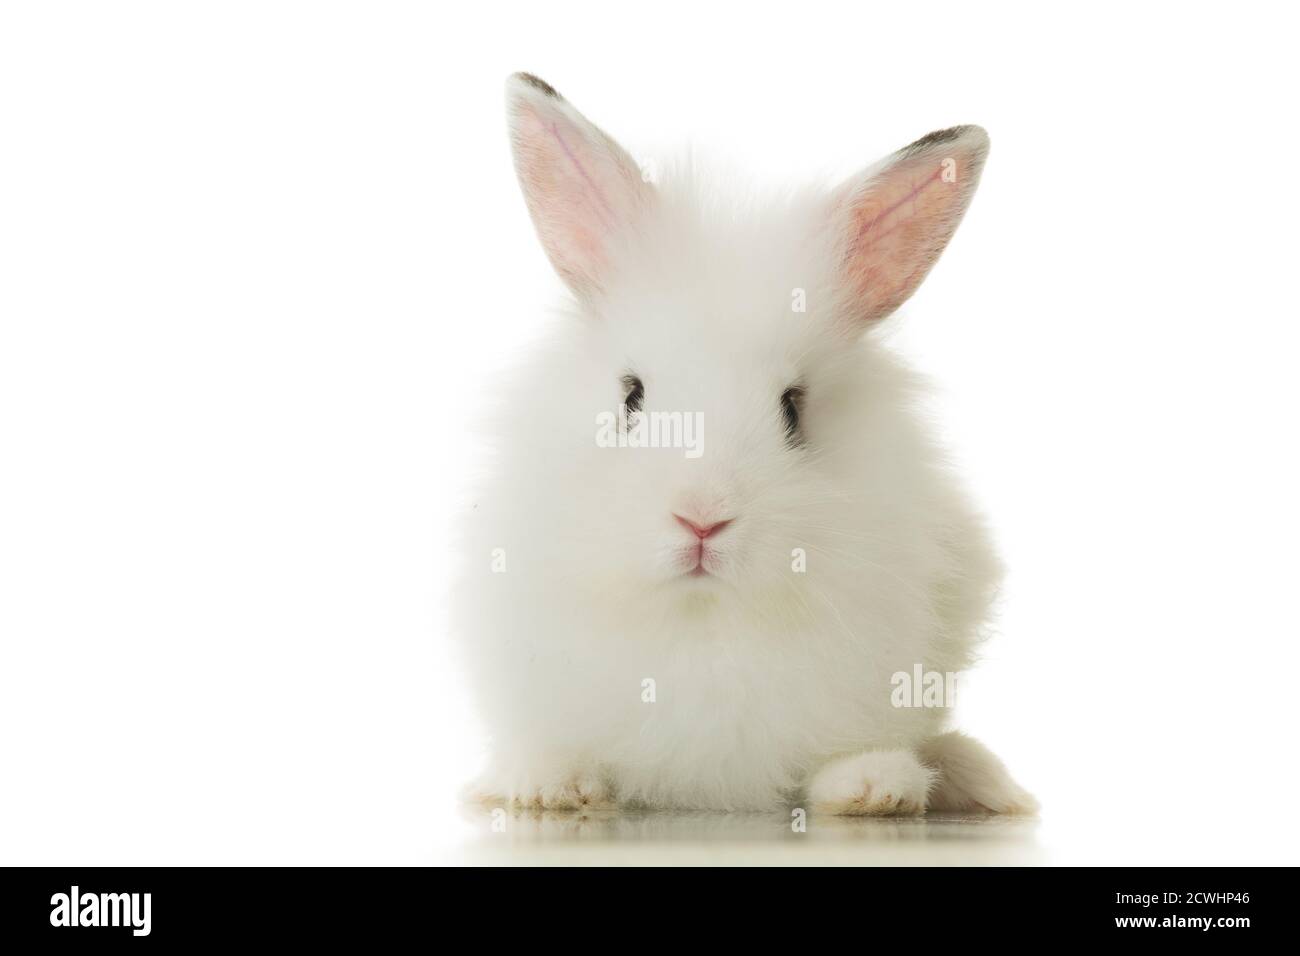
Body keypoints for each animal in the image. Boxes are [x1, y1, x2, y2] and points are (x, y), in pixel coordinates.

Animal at [452, 72, 1036, 816]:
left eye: (793, 409)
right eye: (631, 397)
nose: (702, 519)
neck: (704, 617)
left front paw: (874, 788)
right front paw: (549, 788)